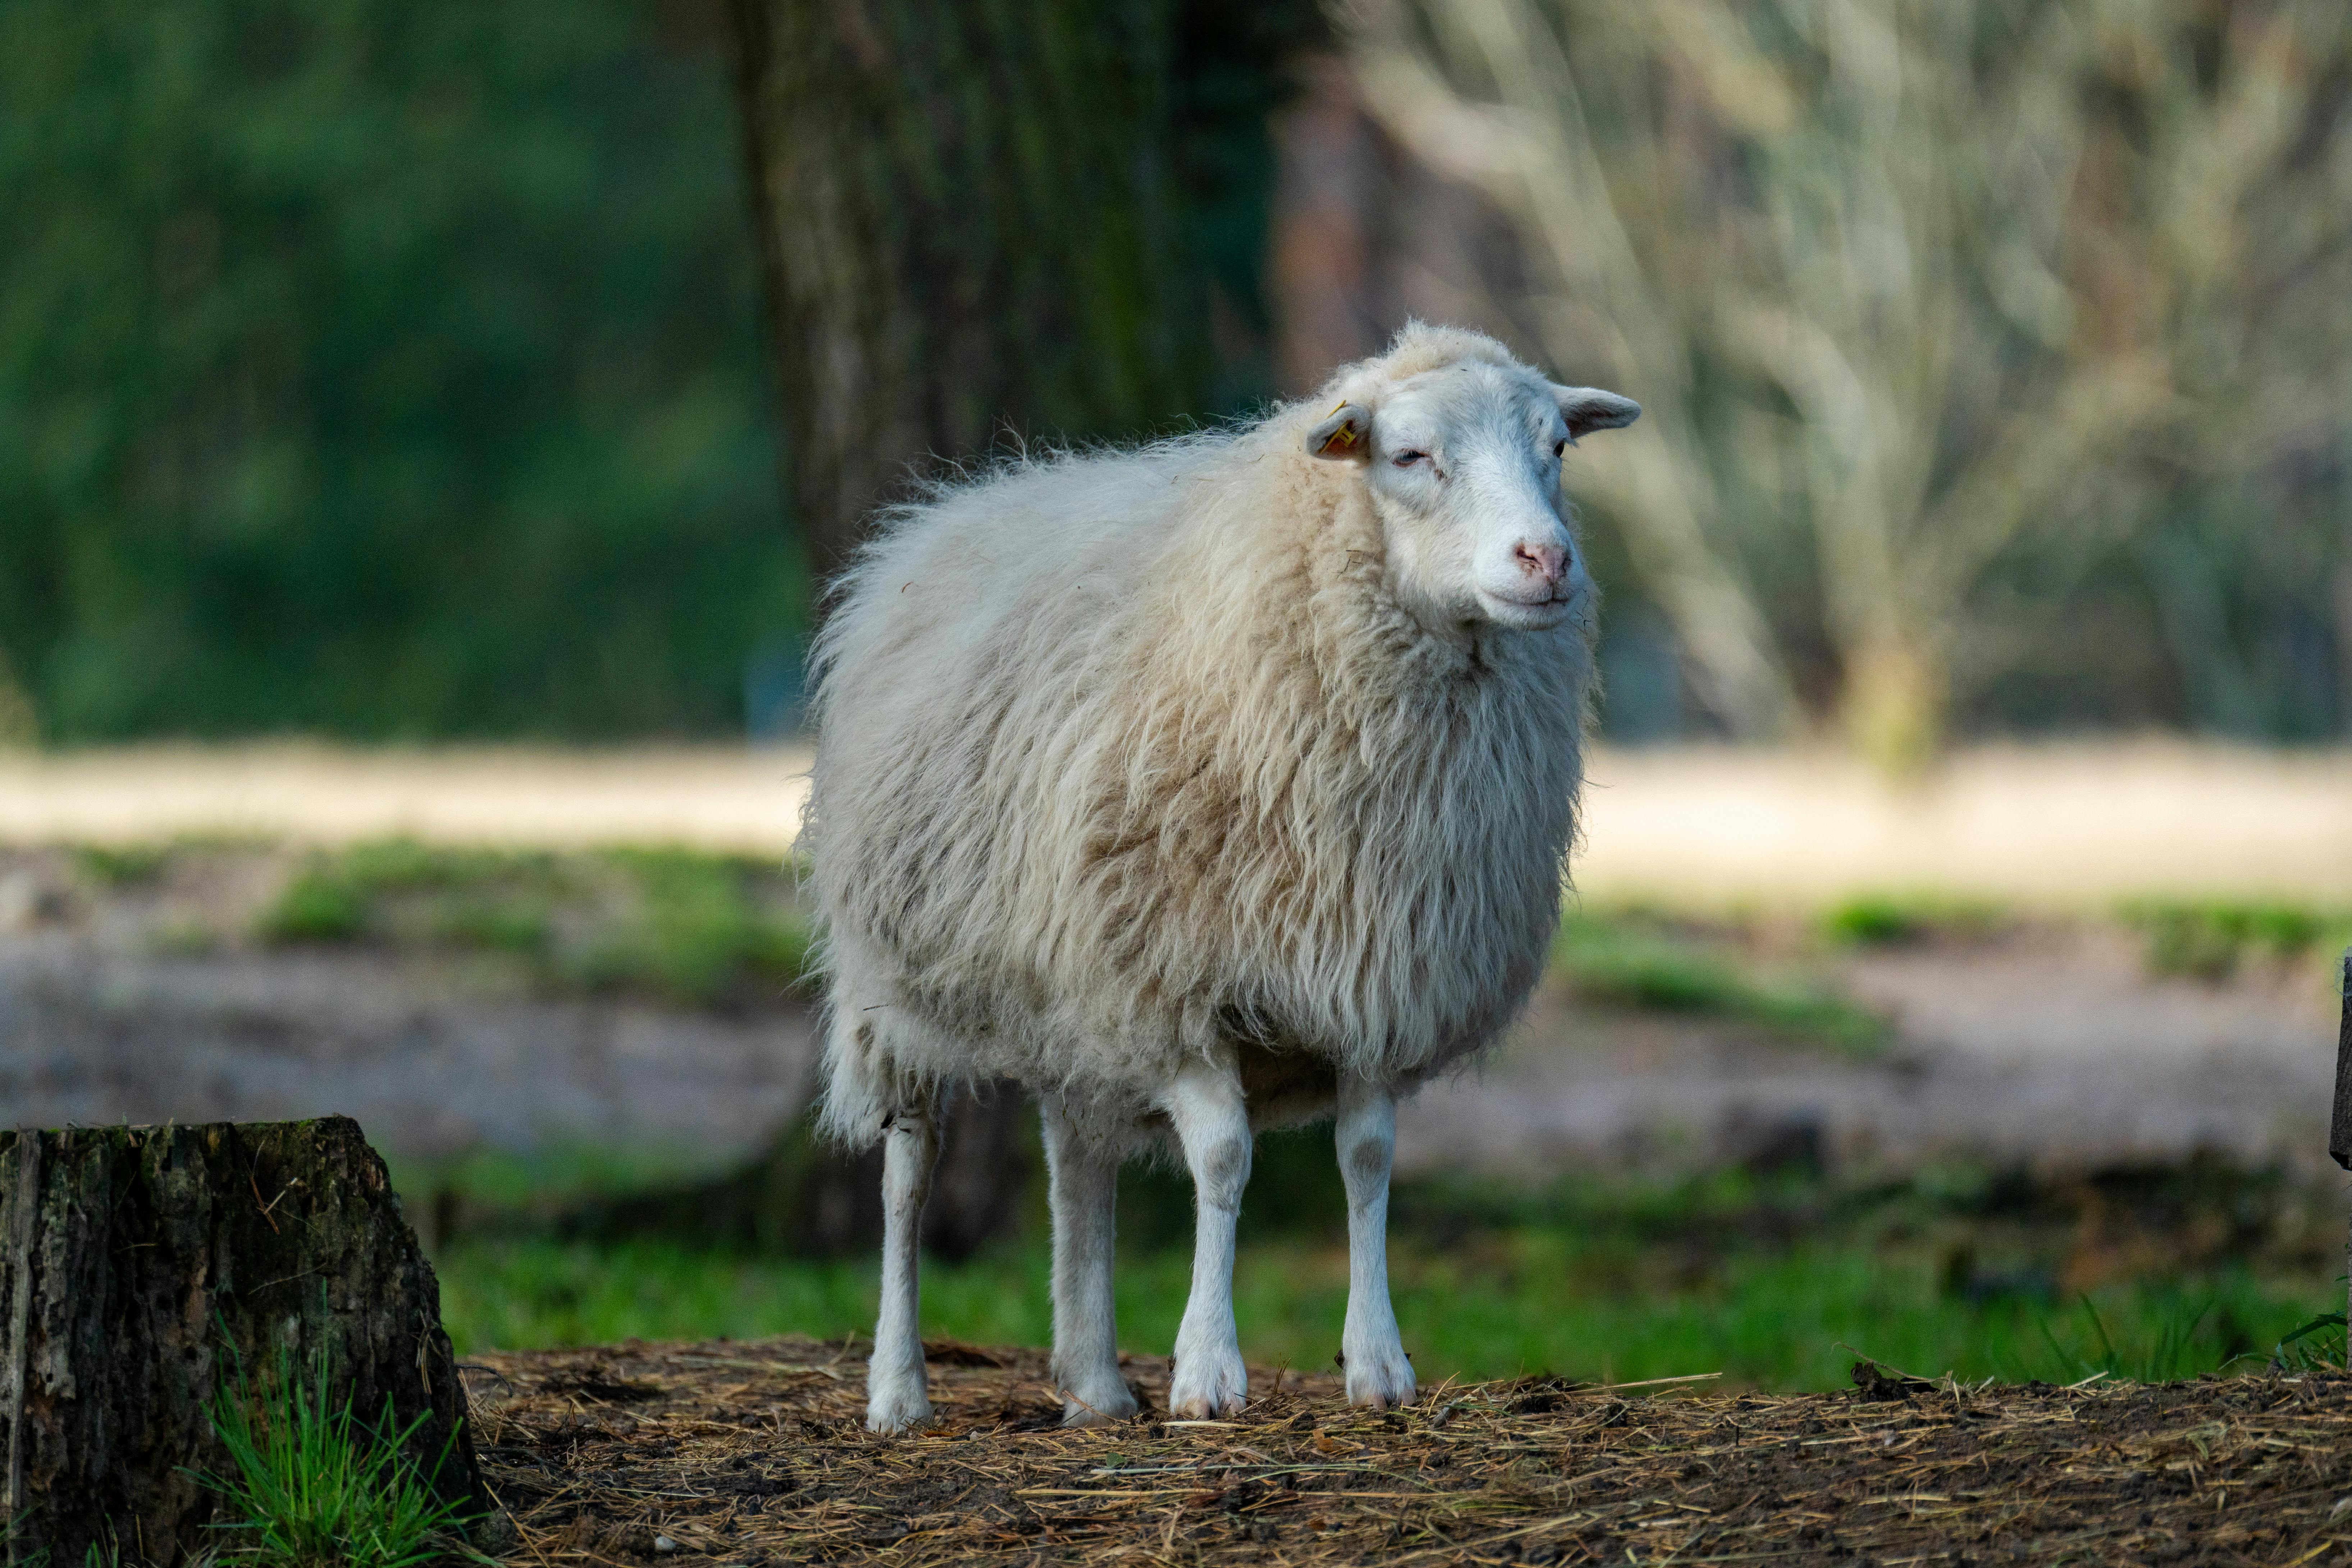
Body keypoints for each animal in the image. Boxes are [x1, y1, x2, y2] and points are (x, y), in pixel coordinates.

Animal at [803, 322, 1640, 1432]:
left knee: (1078, 1160)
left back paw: (1093, 1381)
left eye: (1556, 448)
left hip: (1075, 987)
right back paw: (899, 1389)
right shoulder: (1177, 983)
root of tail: (955, 505)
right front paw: (1208, 1371)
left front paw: (1378, 1365)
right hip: (897, 979)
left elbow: (1366, 1157)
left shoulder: (1369, 975)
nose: (1545, 560)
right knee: (909, 1168)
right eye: (1411, 455)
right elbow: (1223, 1158)